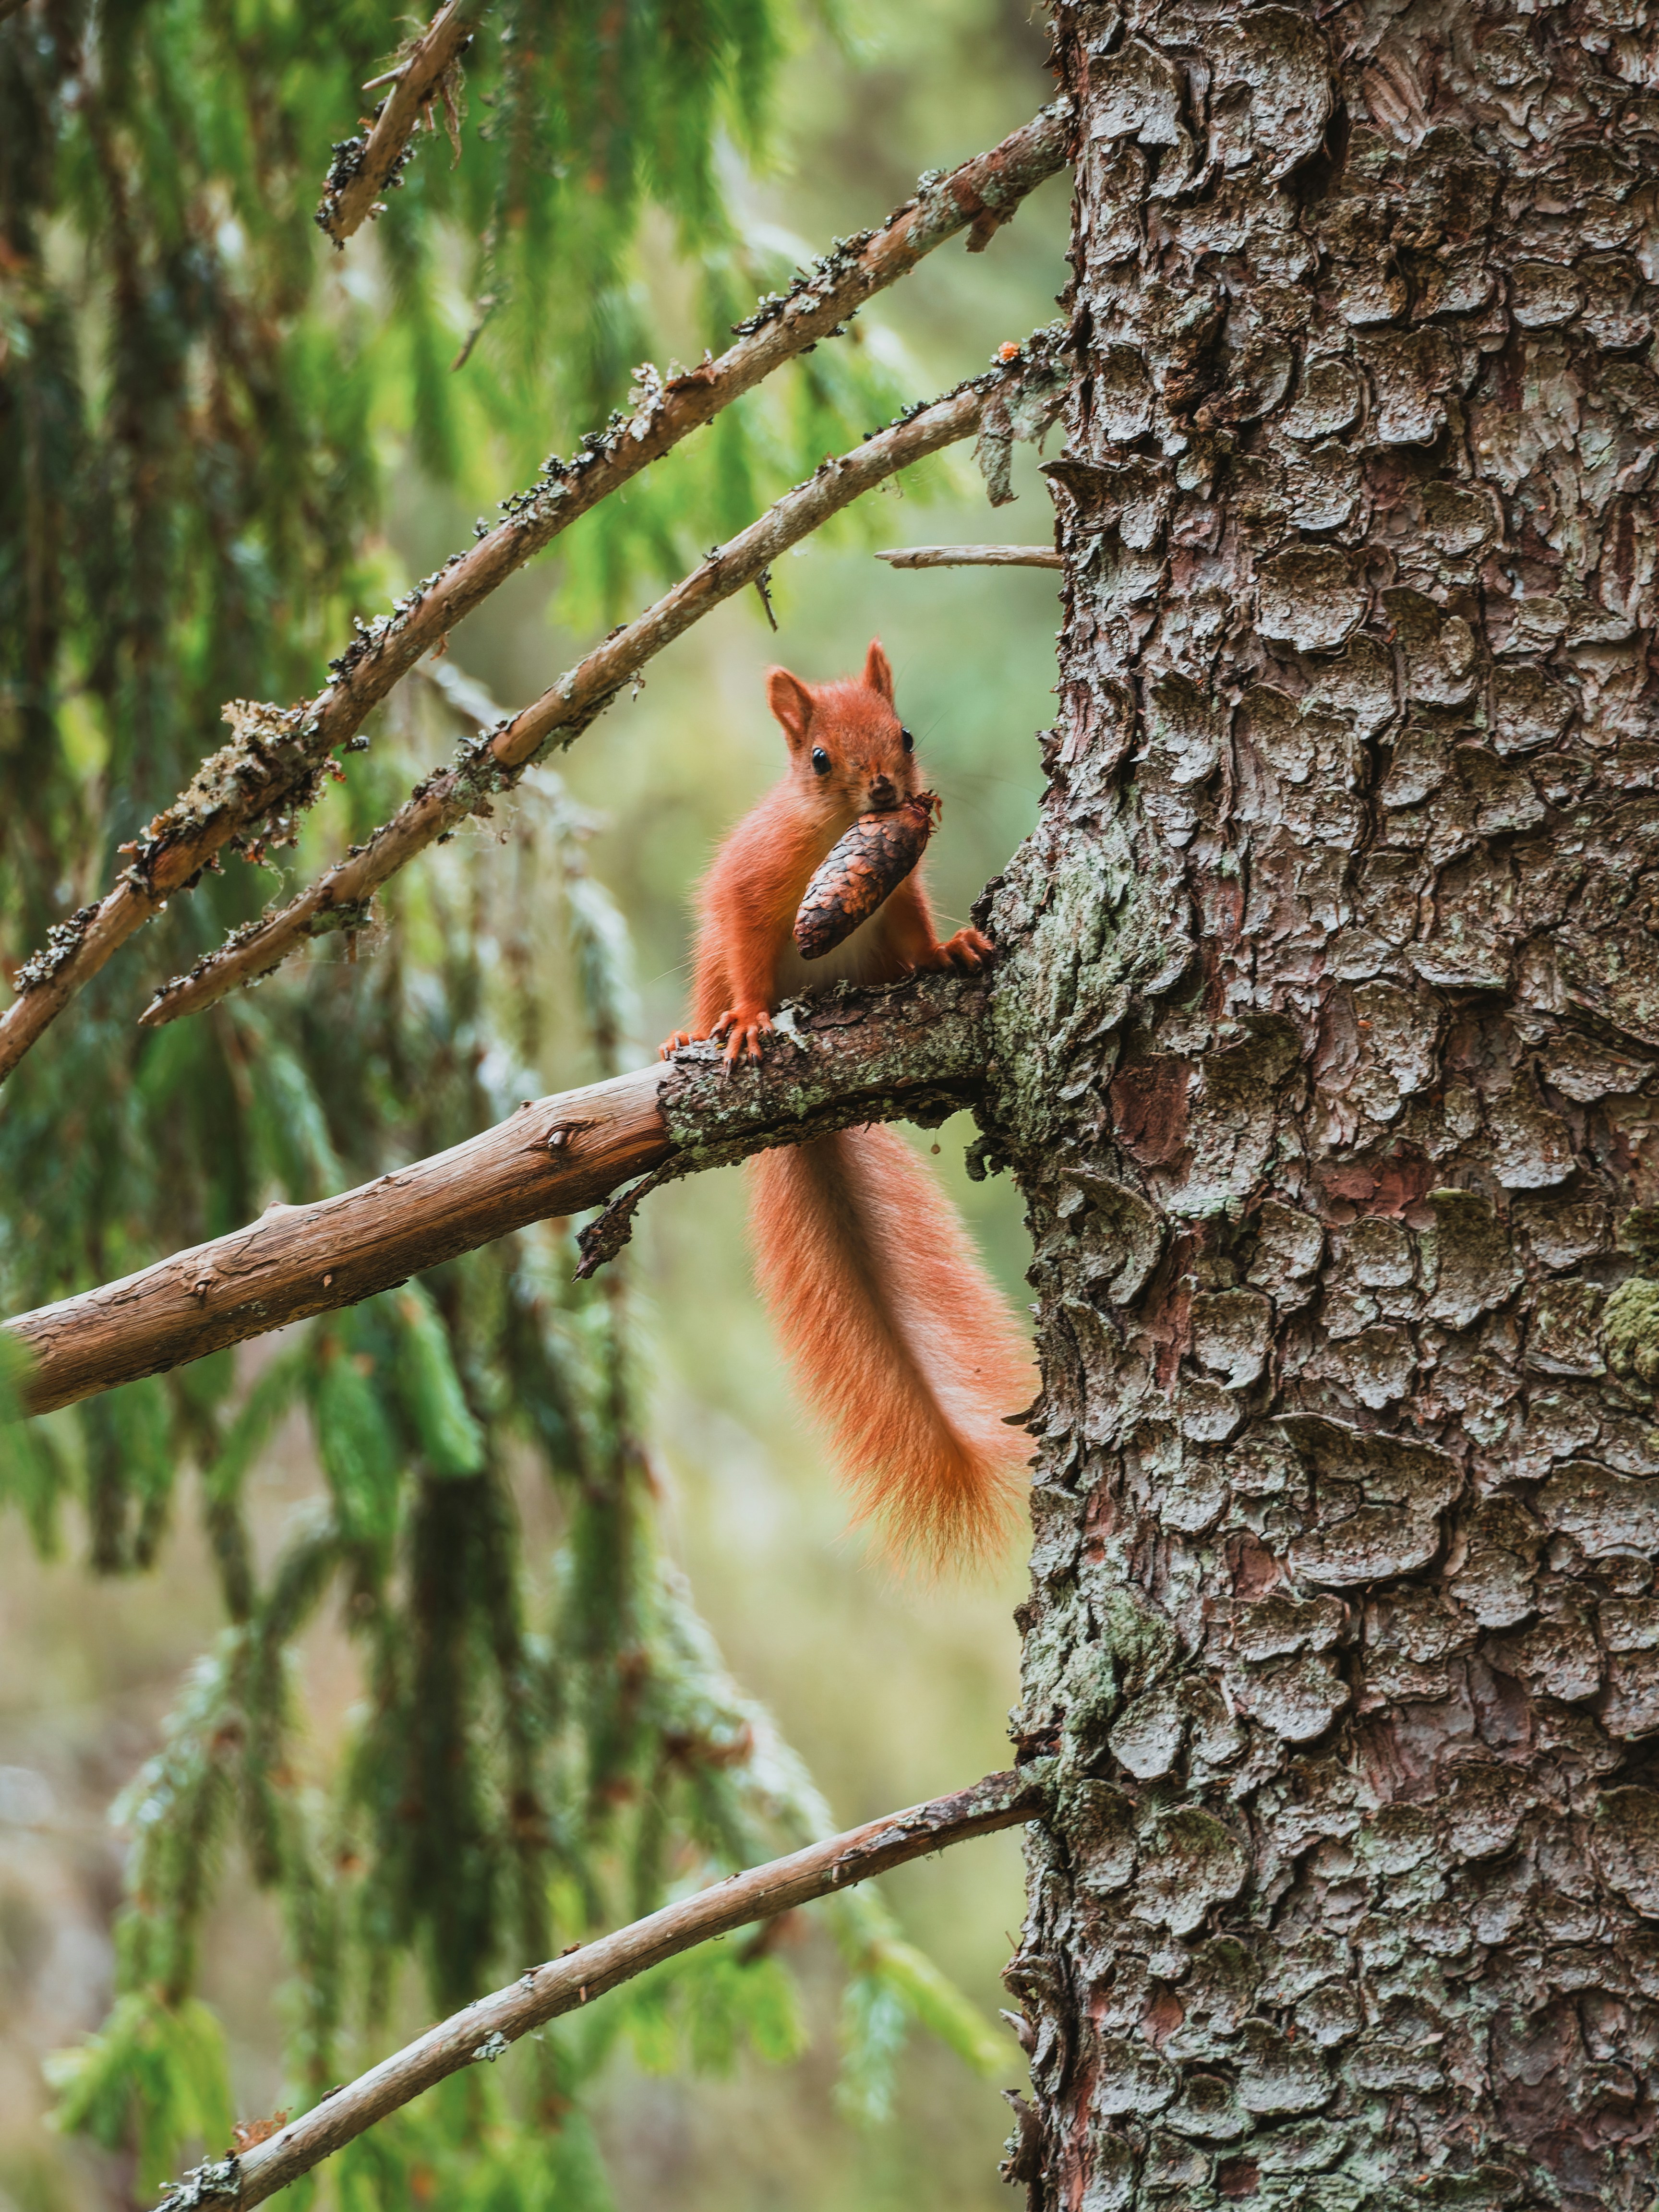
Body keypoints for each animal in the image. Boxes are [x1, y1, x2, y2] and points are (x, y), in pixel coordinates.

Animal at [661, 639, 1032, 1569]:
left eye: (905, 733)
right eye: (821, 758)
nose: (888, 794)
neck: (837, 837)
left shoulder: (896, 896)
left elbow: (915, 931)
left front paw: (954, 948)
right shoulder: (751, 886)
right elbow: (747, 946)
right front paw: (748, 1020)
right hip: (709, 967)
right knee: (716, 981)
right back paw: (694, 1031)